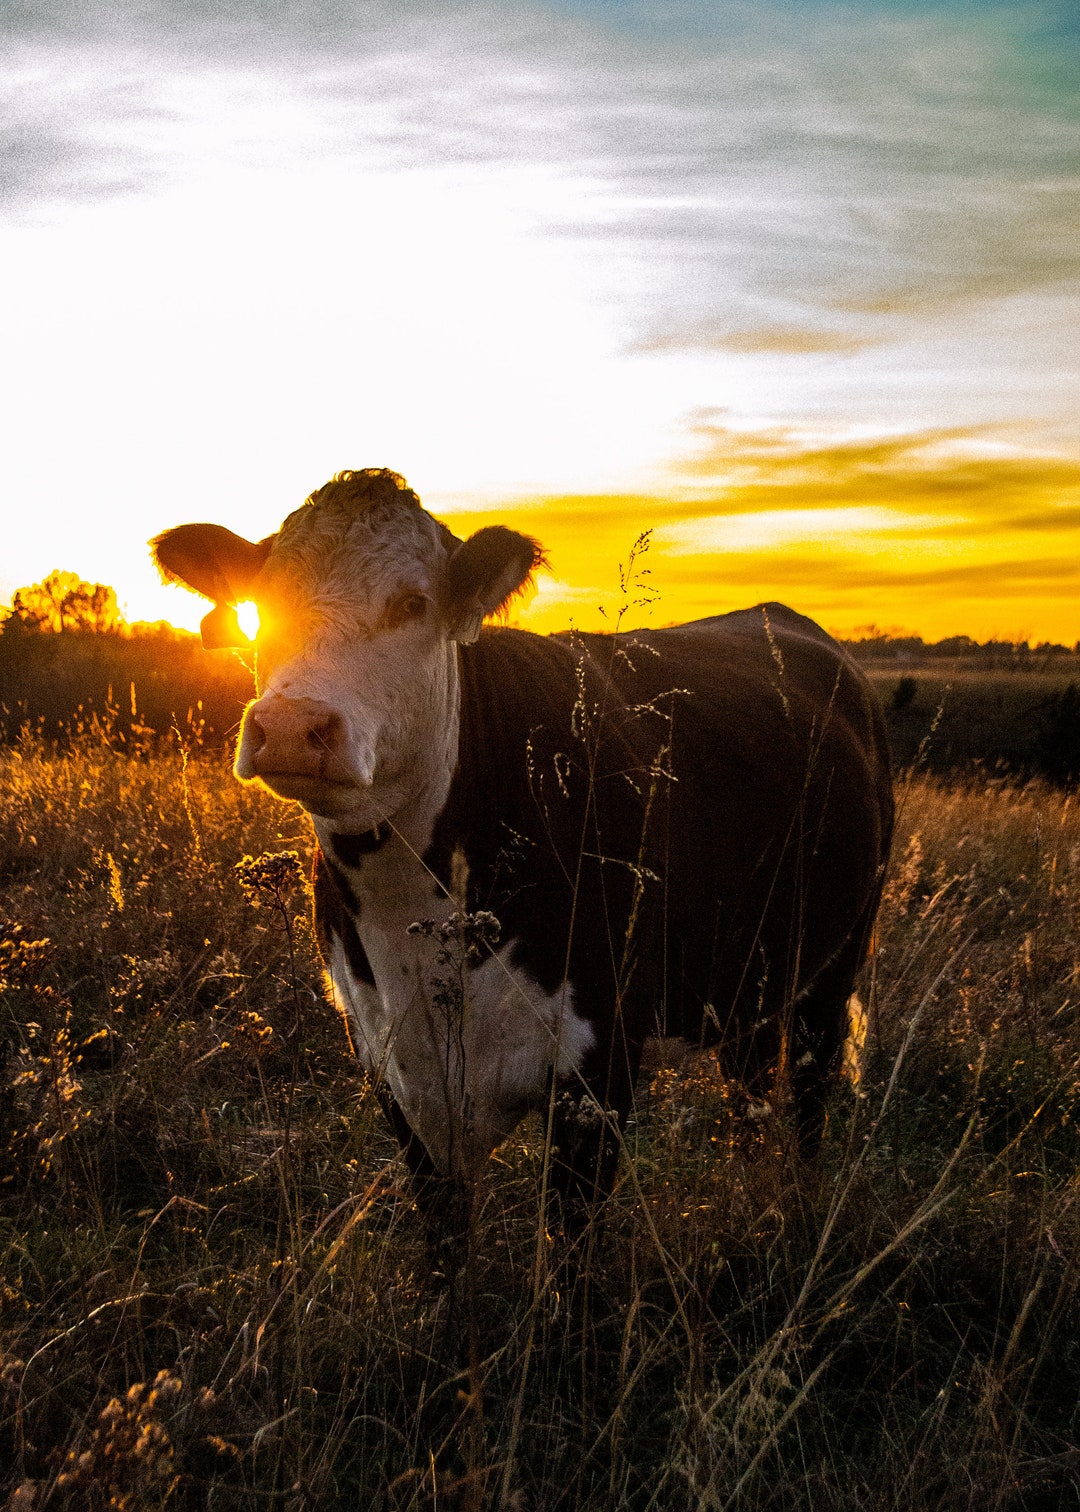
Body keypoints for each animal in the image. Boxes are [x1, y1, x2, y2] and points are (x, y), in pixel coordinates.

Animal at [153, 467, 893, 1232]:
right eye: (261, 603)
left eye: (414, 603)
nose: (293, 727)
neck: (411, 920)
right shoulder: (394, 1070)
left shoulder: (598, 1069)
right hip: (751, 976)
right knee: (750, 1094)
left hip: (833, 966)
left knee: (808, 1100)